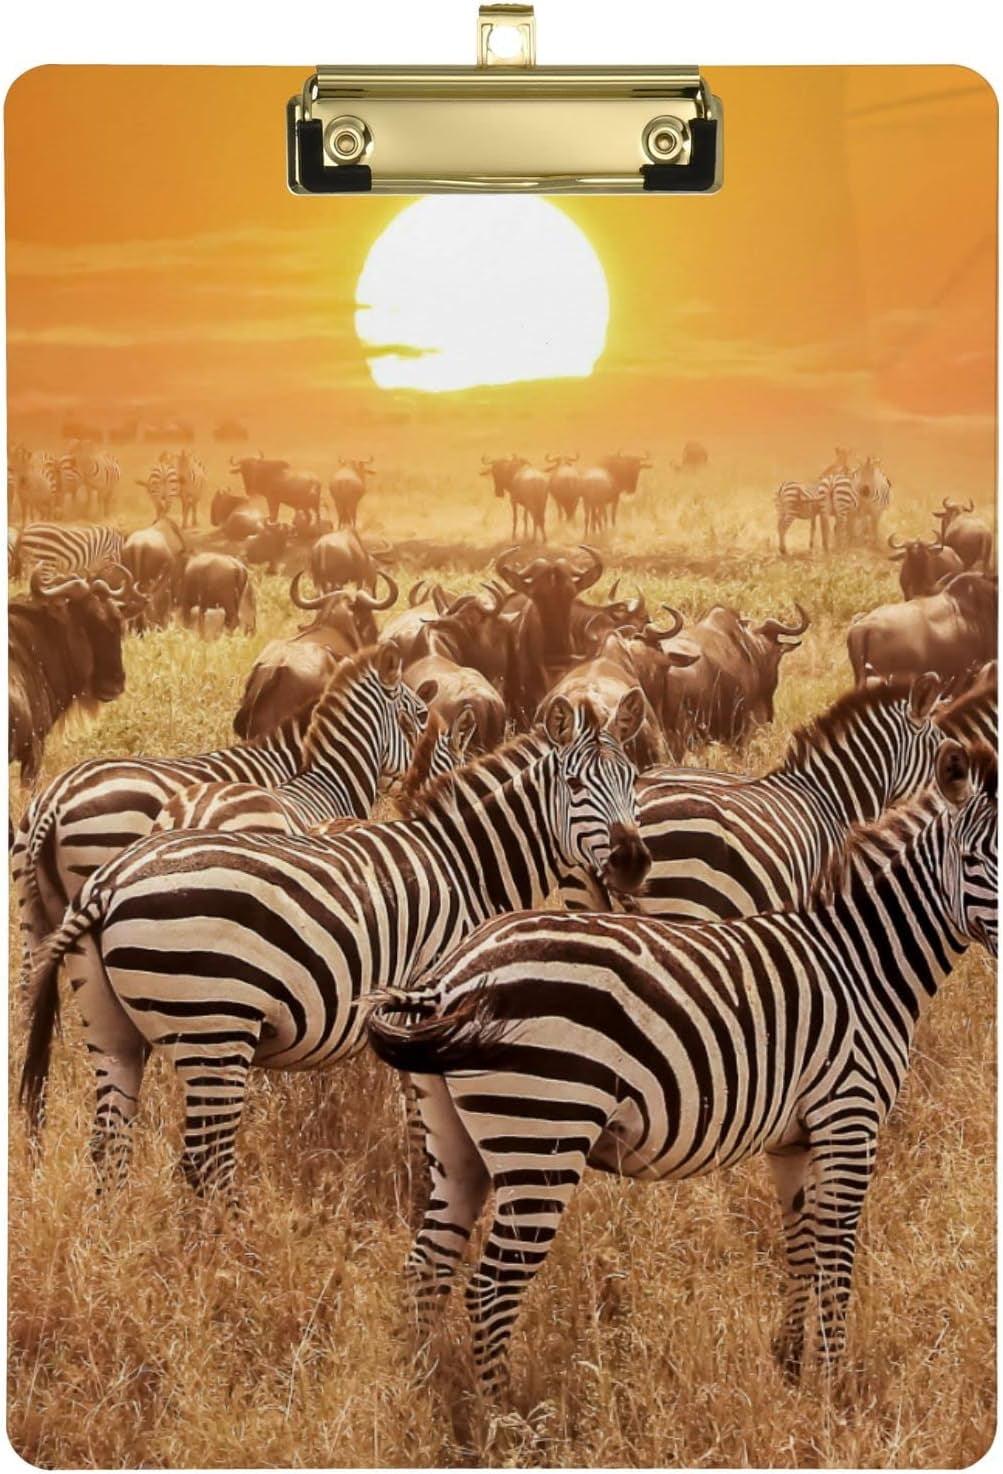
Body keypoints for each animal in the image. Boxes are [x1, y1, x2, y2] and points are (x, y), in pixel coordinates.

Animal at [20, 691, 649, 1198]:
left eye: (635, 783)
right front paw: (421, 1189)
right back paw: (231, 1253)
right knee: (203, 1160)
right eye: (575, 786)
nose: (634, 862)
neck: (463, 863)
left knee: (108, 1142)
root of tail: (109, 883)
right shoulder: (429, 1006)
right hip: (215, 1024)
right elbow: (421, 1120)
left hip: (112, 1027)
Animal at [367, 739, 997, 1392]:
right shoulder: (849, 1116)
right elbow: (835, 1254)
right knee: (491, 1289)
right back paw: (505, 1415)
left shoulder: (793, 1138)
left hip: (455, 1140)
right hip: (543, 1131)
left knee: (427, 1267)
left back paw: (421, 1392)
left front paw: (791, 1363)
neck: (860, 961)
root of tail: (450, 979)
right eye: (975, 857)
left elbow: (799, 1246)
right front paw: (831, 1381)